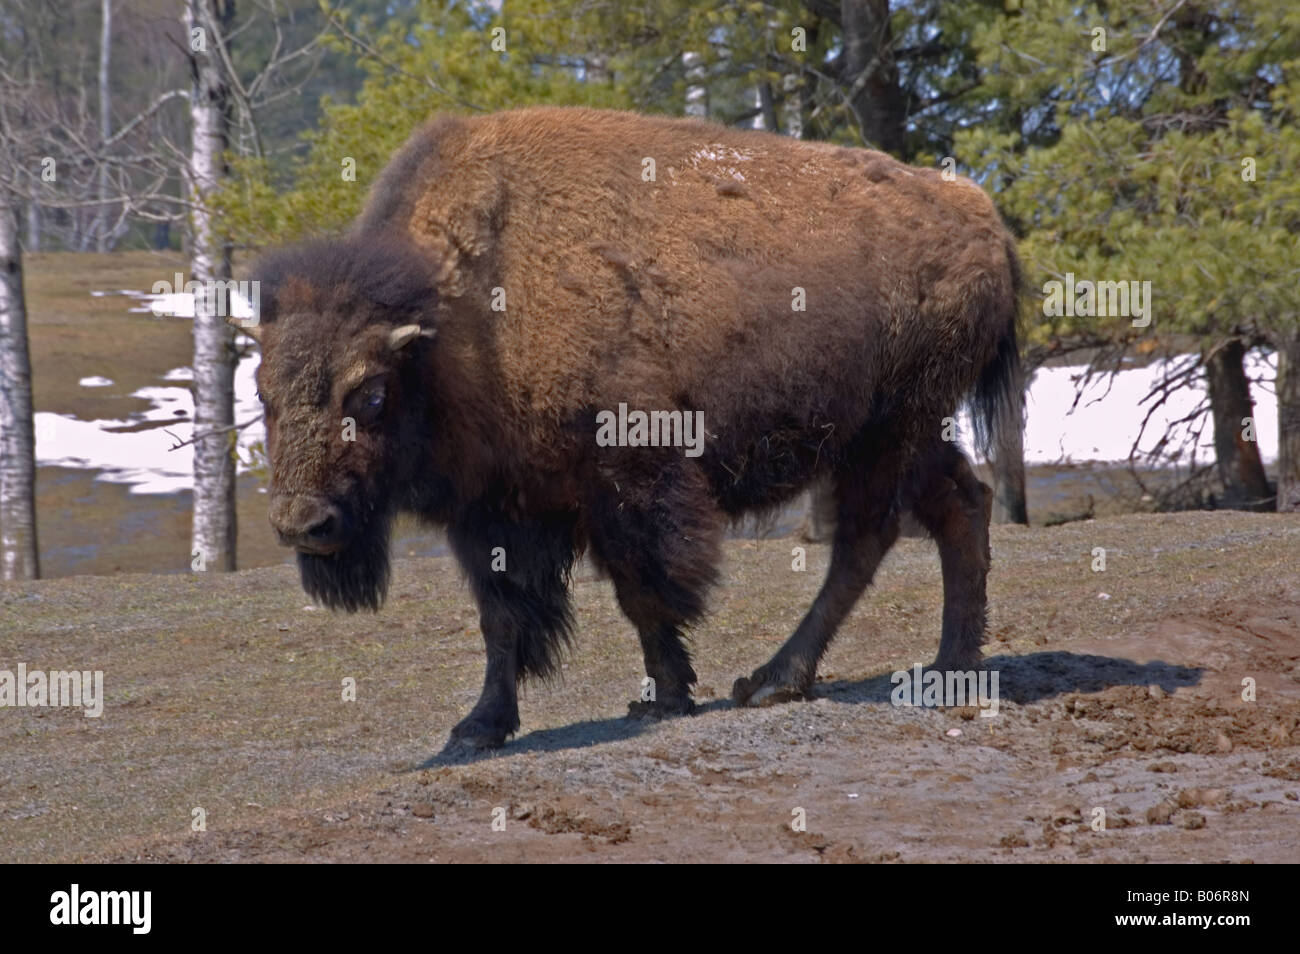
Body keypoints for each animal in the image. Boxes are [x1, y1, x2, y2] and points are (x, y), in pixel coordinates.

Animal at [240, 107, 1021, 752]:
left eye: (369, 393)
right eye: (263, 393)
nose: (303, 524)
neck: (460, 319)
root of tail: (981, 214)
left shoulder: (628, 479)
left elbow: (641, 591)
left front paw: (665, 696)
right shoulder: (491, 511)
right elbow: (502, 618)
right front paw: (478, 728)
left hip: (887, 432)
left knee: (866, 538)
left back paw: (776, 679)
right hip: (906, 432)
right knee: (960, 504)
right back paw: (950, 665)